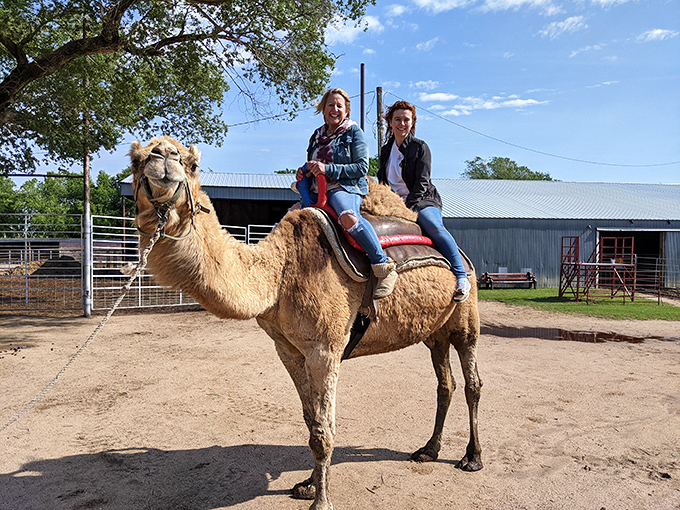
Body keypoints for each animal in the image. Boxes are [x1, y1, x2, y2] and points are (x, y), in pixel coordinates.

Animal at [129, 136, 483, 510]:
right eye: (136, 160)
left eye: (193, 164)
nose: (162, 157)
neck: (279, 273)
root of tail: (465, 259)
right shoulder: (288, 350)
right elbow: (312, 422)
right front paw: (309, 485)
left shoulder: (325, 350)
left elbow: (325, 430)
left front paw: (321, 501)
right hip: (434, 333)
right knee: (445, 384)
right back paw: (428, 450)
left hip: (465, 320)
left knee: (472, 382)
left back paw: (472, 457)